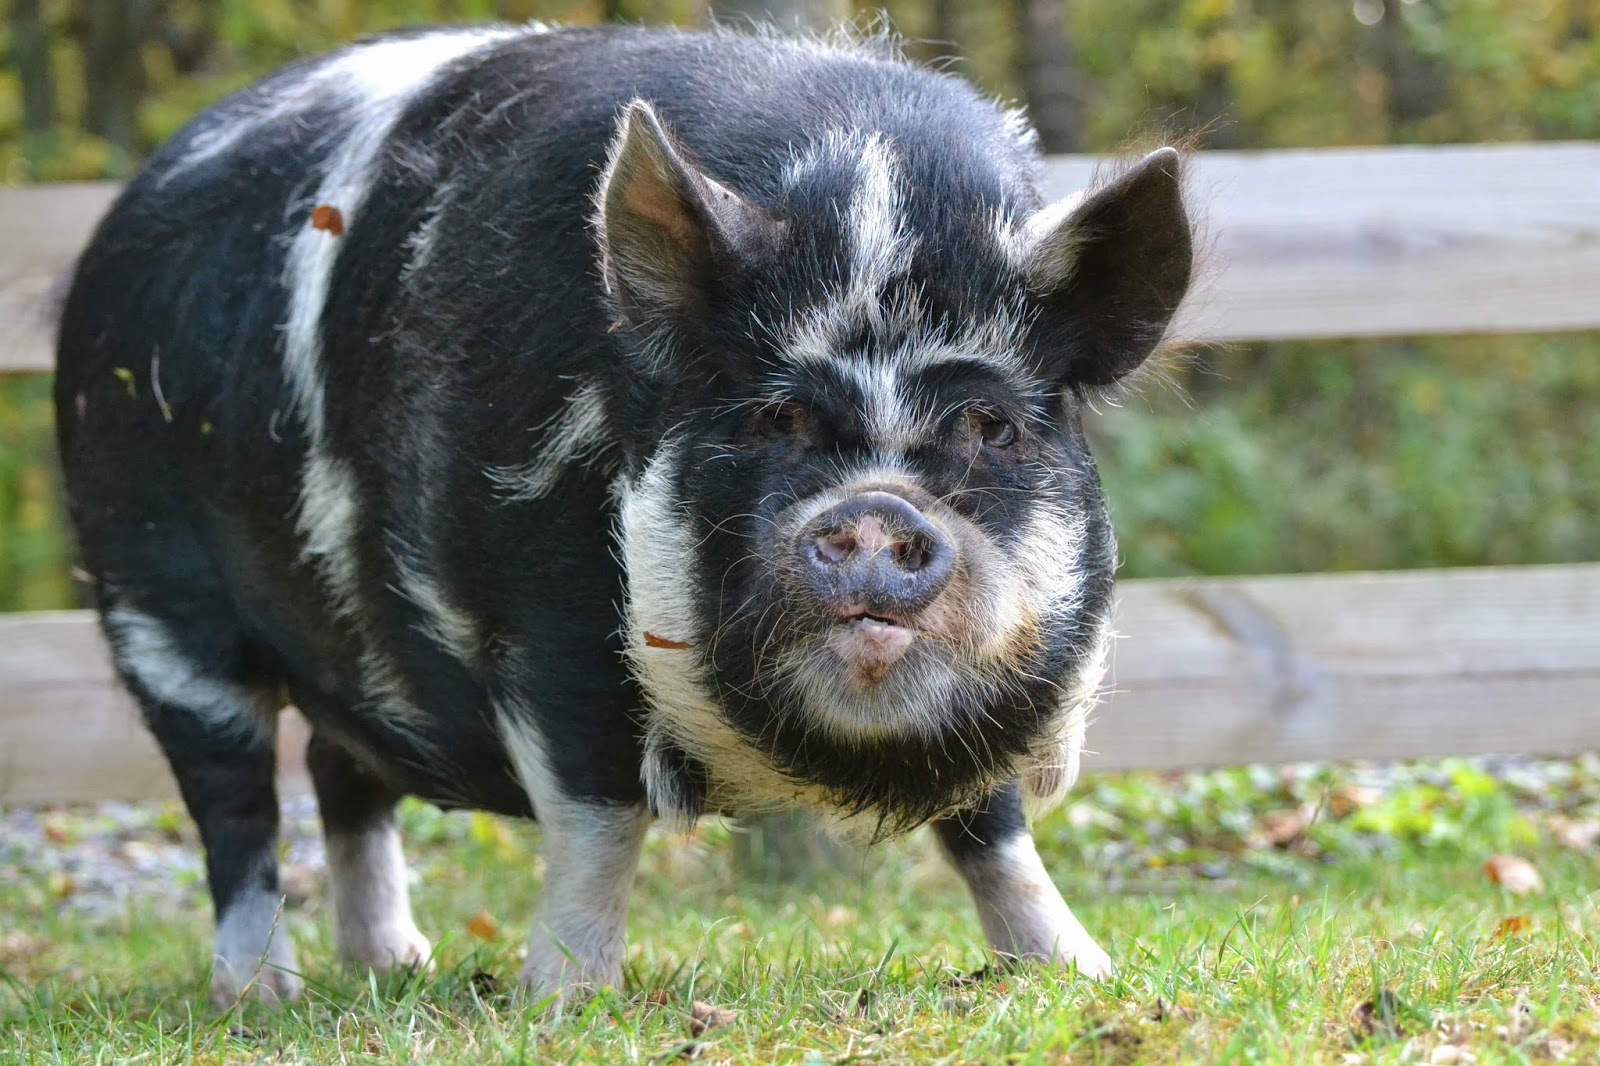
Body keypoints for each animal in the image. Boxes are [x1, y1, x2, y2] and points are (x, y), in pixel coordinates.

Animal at [53, 22, 1192, 1007]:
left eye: (989, 424)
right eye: (771, 414)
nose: (873, 510)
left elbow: (993, 827)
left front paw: (1077, 972)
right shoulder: (546, 615)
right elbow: (598, 819)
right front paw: (562, 1000)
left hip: (340, 647)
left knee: (344, 774)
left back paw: (396, 965)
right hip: (150, 586)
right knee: (235, 801)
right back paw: (260, 996)